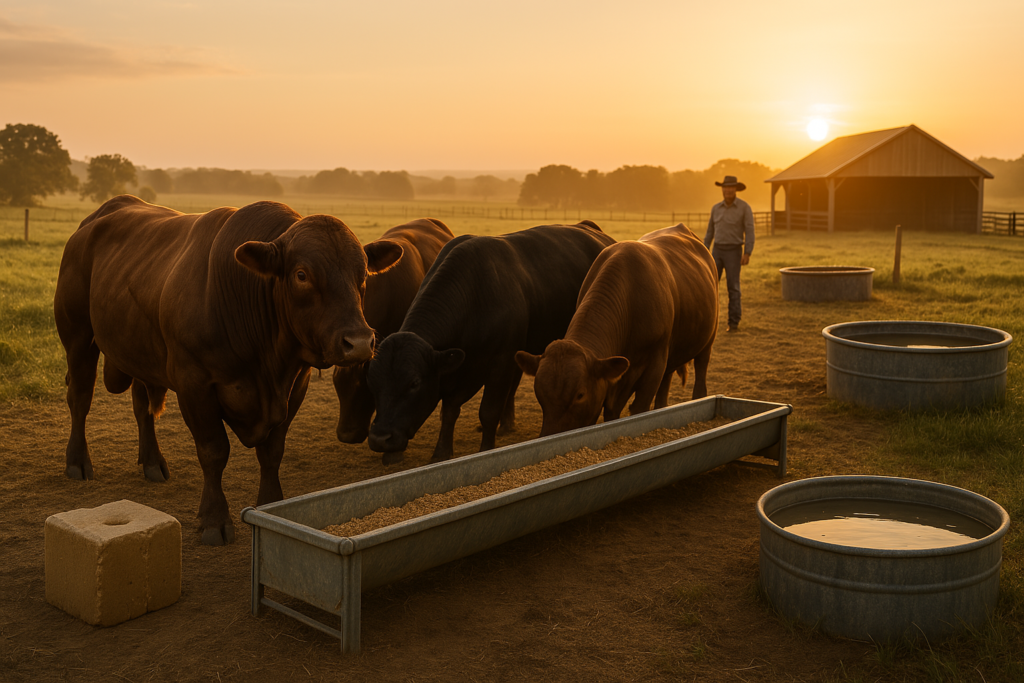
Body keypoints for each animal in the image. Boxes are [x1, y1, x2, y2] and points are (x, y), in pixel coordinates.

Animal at [53, 195, 402, 545]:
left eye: (364, 274)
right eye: (302, 274)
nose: (359, 342)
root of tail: (105, 210)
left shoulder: (295, 386)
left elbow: (272, 452)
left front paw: (271, 507)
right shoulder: (194, 384)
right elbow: (214, 451)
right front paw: (214, 519)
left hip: (140, 349)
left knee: (143, 406)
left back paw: (152, 462)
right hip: (78, 338)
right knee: (80, 398)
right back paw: (78, 461)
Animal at [365, 221, 616, 463]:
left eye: (414, 383)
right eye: (373, 382)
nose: (379, 438)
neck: (475, 296)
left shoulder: (500, 362)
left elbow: (488, 411)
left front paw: (486, 448)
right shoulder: (462, 368)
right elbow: (449, 410)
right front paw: (441, 452)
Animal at [514, 222, 718, 437]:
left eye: (580, 394)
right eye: (539, 394)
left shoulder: (656, 361)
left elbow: (640, 408)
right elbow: (612, 413)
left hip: (707, 341)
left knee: (701, 373)